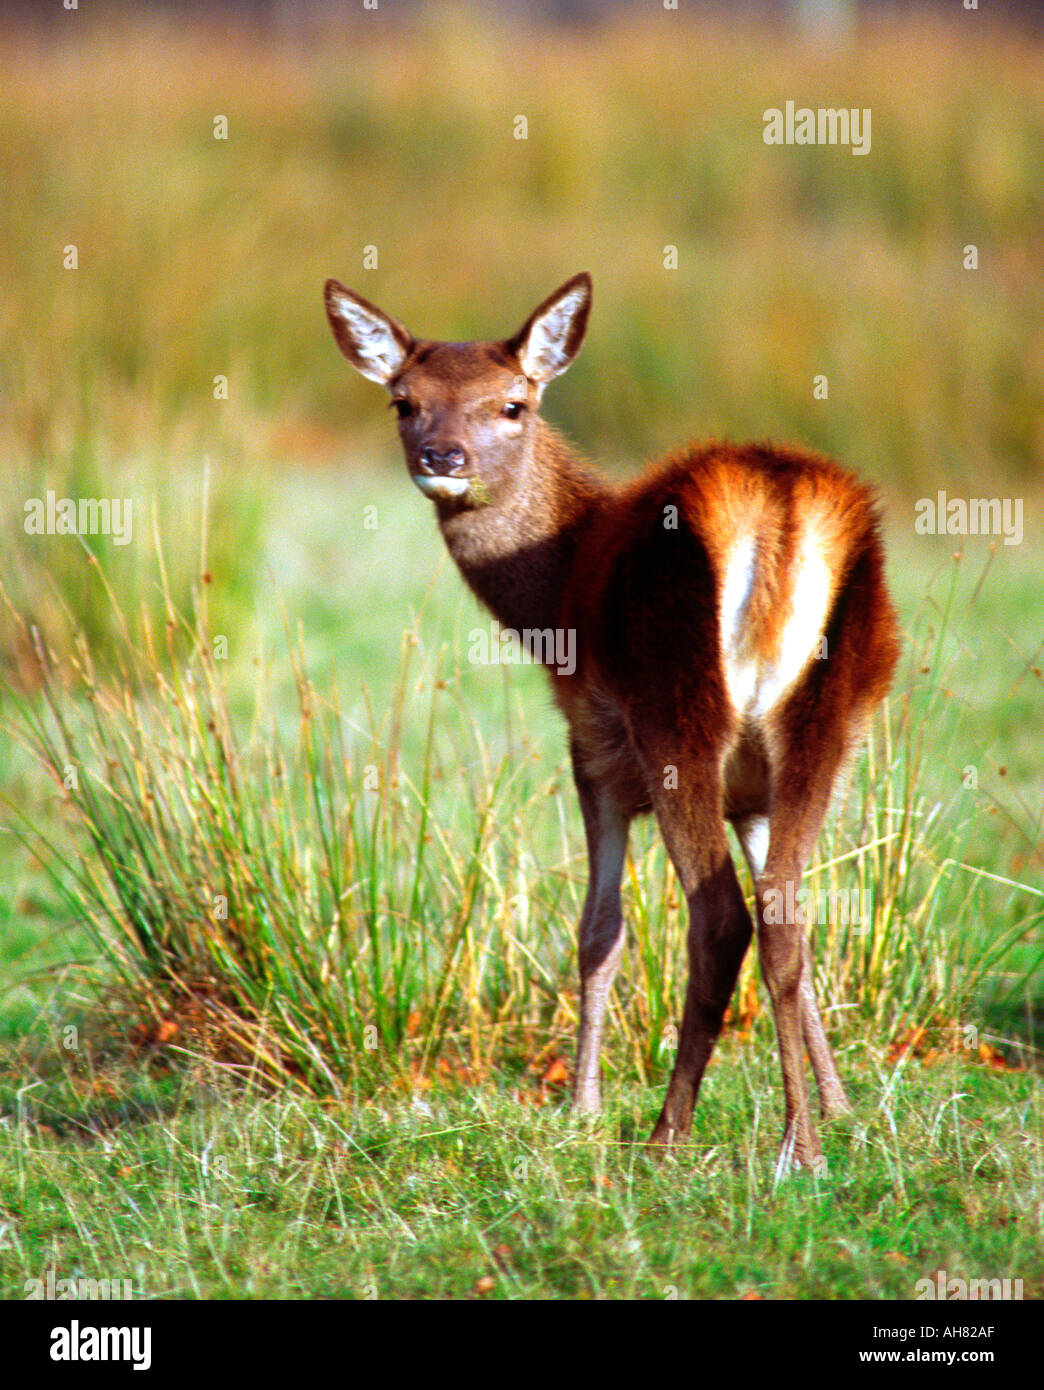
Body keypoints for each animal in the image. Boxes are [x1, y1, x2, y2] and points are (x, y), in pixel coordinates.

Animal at [323, 271, 900, 1170]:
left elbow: (600, 929)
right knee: (782, 913)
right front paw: (839, 1107)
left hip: (673, 706)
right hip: (824, 717)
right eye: (403, 401)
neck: (554, 596)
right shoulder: (751, 794)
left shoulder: (592, 750)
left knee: (720, 917)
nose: (442, 459)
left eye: (513, 403)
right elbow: (794, 939)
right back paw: (798, 1144)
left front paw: (582, 1105)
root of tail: (777, 506)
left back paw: (668, 1132)